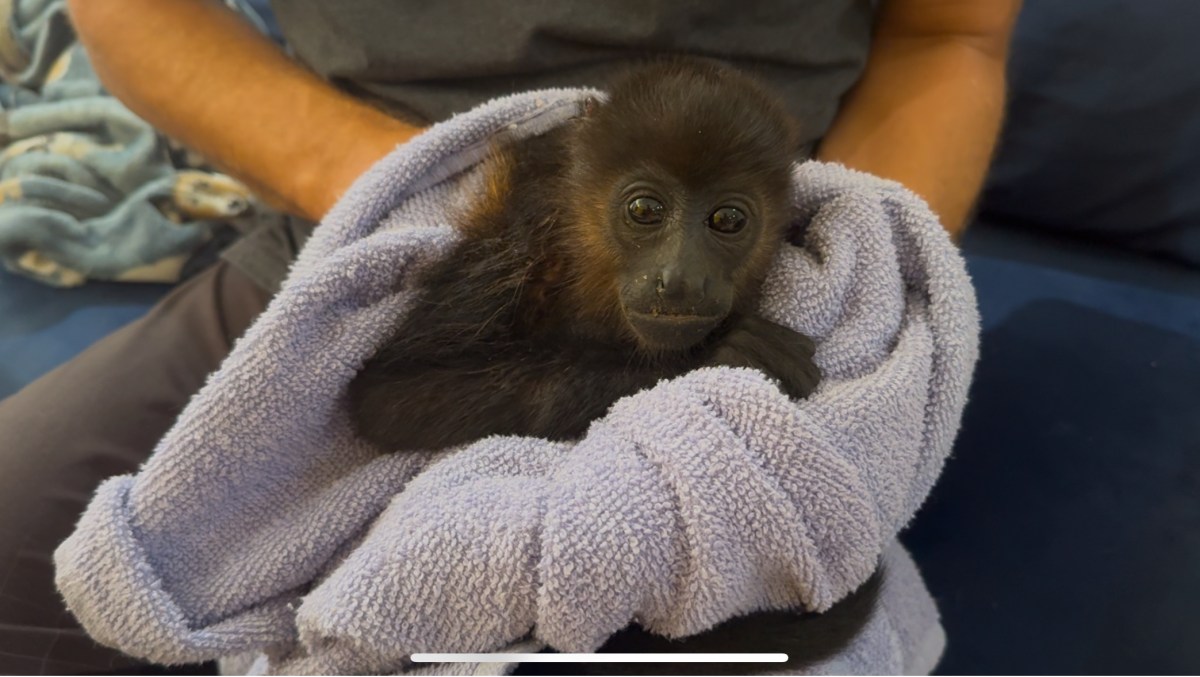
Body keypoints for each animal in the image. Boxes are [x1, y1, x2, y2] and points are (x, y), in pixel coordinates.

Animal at [348, 59, 821, 452]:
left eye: (727, 219)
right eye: (644, 210)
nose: (679, 277)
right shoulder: (519, 236)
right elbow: (391, 394)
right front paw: (719, 352)